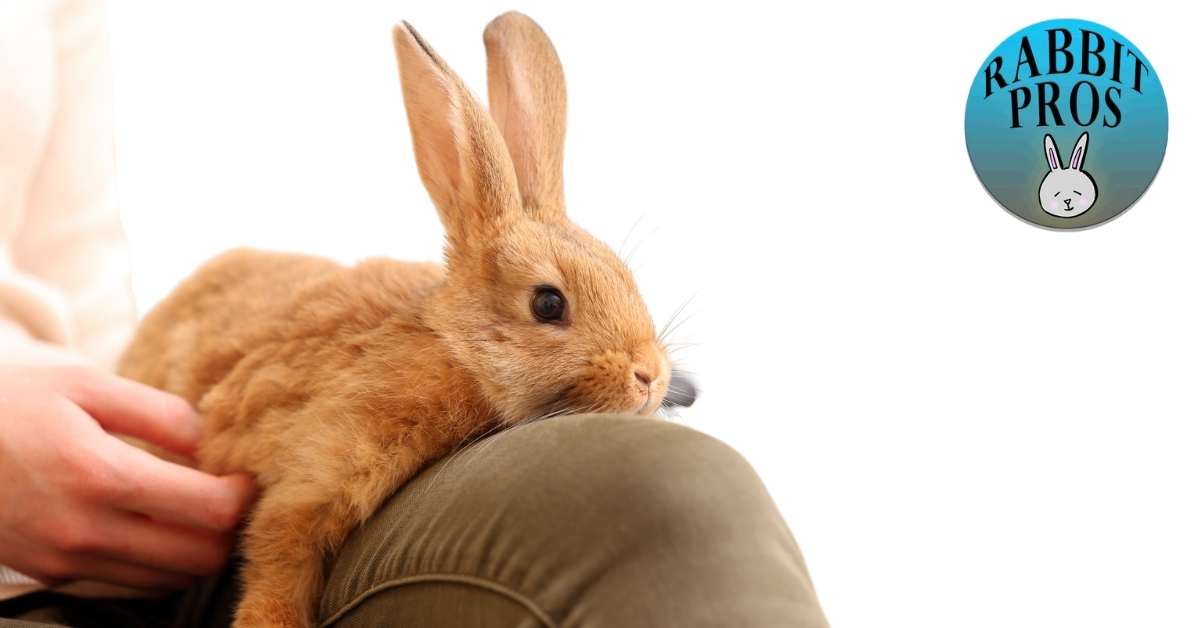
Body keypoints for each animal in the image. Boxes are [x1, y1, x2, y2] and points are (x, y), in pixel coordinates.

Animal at [117, 12, 694, 628]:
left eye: (626, 277)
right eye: (548, 304)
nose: (649, 376)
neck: (454, 349)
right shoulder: (314, 473)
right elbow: (278, 556)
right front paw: (268, 620)